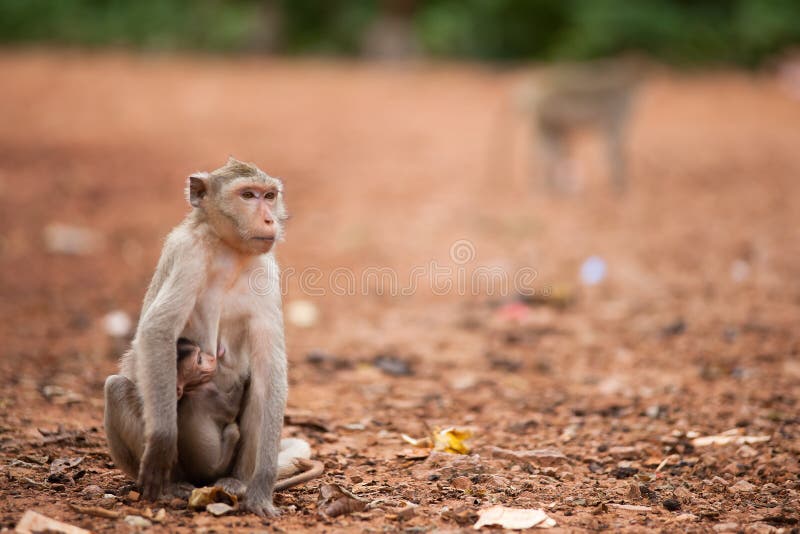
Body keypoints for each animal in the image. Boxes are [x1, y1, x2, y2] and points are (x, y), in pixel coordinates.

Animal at [104, 157, 307, 516]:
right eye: (248, 195)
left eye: (269, 196)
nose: (269, 219)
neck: (230, 250)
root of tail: (206, 480)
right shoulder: (189, 254)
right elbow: (158, 330)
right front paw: (161, 444)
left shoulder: (266, 270)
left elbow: (271, 370)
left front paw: (262, 489)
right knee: (117, 388)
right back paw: (172, 484)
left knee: (259, 388)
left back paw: (237, 482)